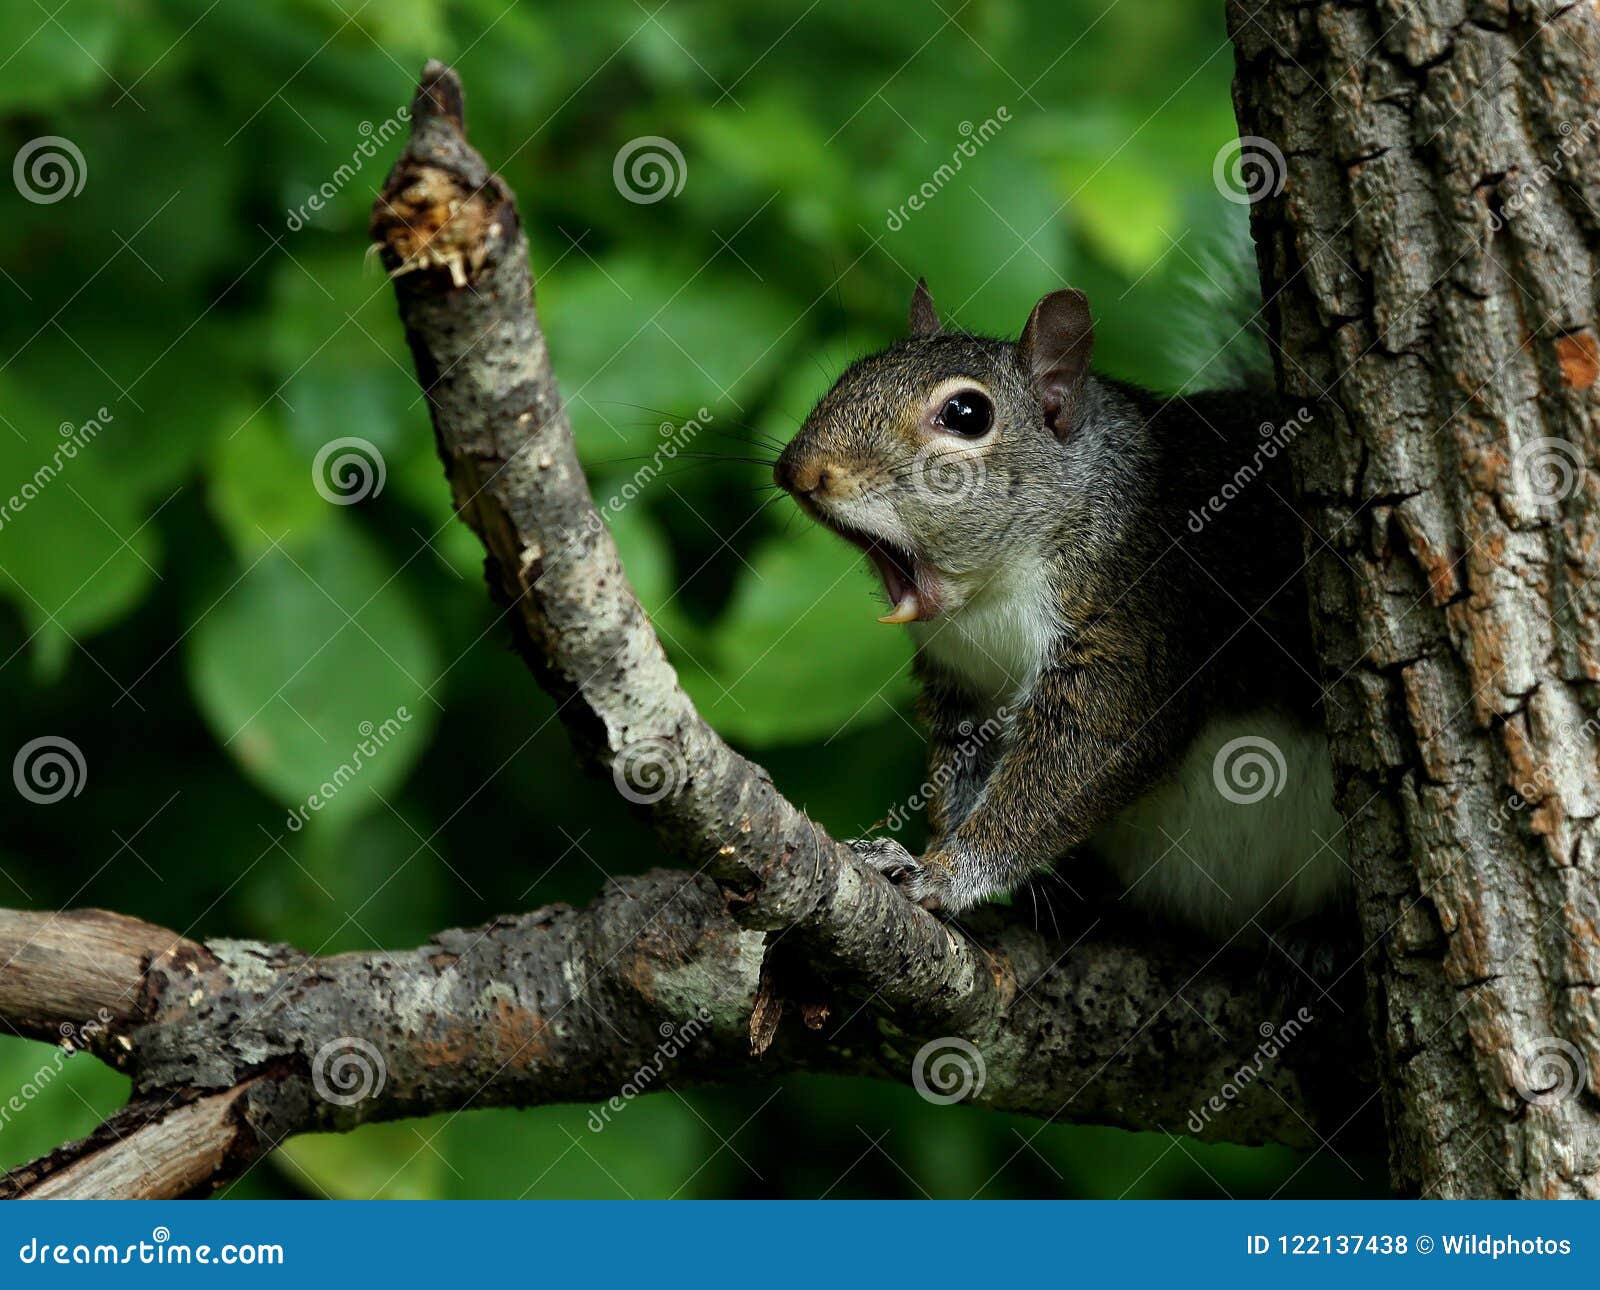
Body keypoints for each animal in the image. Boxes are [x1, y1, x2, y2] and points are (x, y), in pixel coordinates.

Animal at [774, 276, 1349, 942]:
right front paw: (925, 854)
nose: (797, 470)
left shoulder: (1132, 626)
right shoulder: (962, 682)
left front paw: (944, 874)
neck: (992, 595)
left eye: (966, 415)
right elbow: (962, 767)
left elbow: (1083, 755)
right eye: (855, 370)